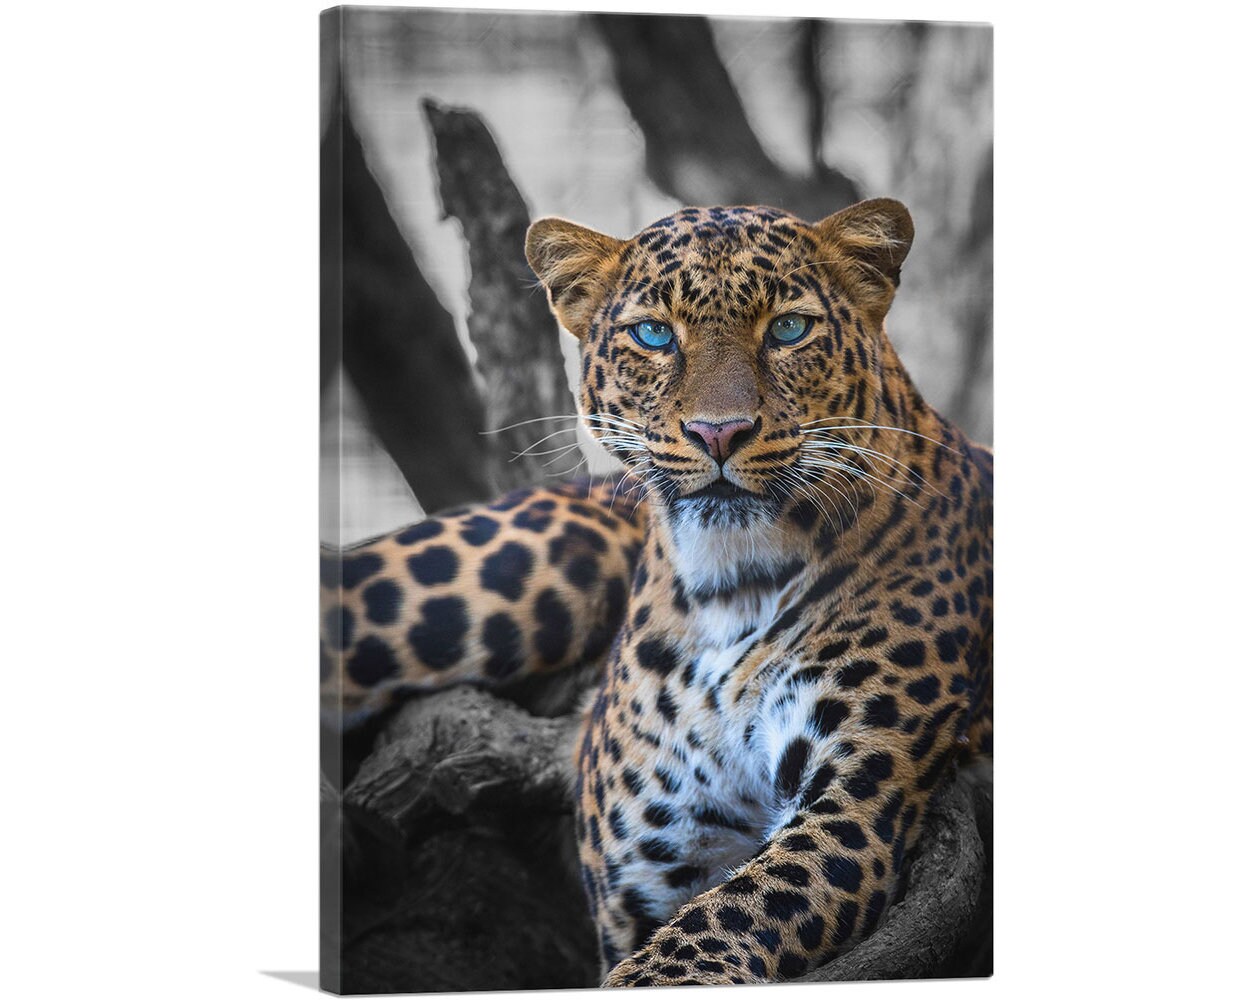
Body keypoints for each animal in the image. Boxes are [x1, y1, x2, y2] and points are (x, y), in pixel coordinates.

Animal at [321, 198, 992, 987]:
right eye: (654, 334)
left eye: (788, 329)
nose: (719, 432)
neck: (731, 587)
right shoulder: (649, 866)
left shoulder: (856, 808)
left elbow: (716, 924)